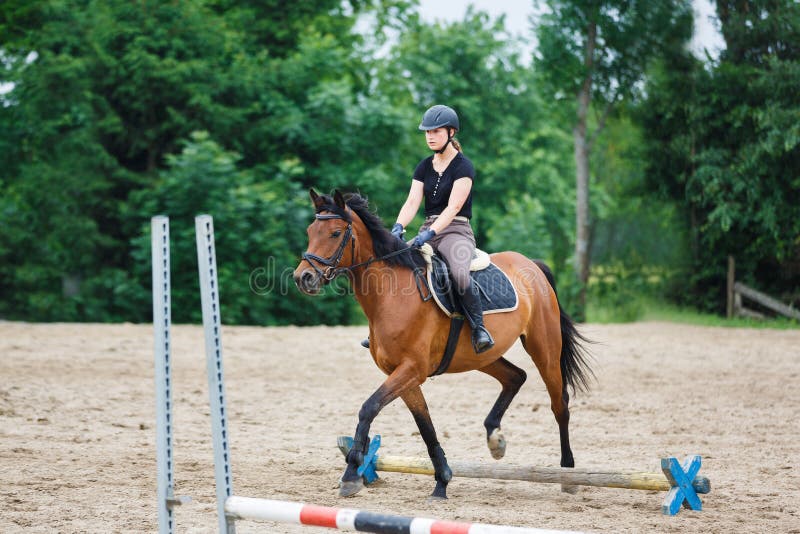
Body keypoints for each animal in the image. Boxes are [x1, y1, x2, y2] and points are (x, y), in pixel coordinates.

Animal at [293, 189, 593, 499]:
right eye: (310, 231)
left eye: (335, 233)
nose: (303, 278)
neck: (391, 294)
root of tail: (531, 264)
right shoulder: (403, 374)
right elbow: (424, 424)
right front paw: (442, 480)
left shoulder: (412, 369)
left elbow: (369, 408)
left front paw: (352, 474)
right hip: (481, 357)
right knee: (515, 377)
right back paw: (495, 439)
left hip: (544, 349)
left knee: (559, 405)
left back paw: (568, 474)